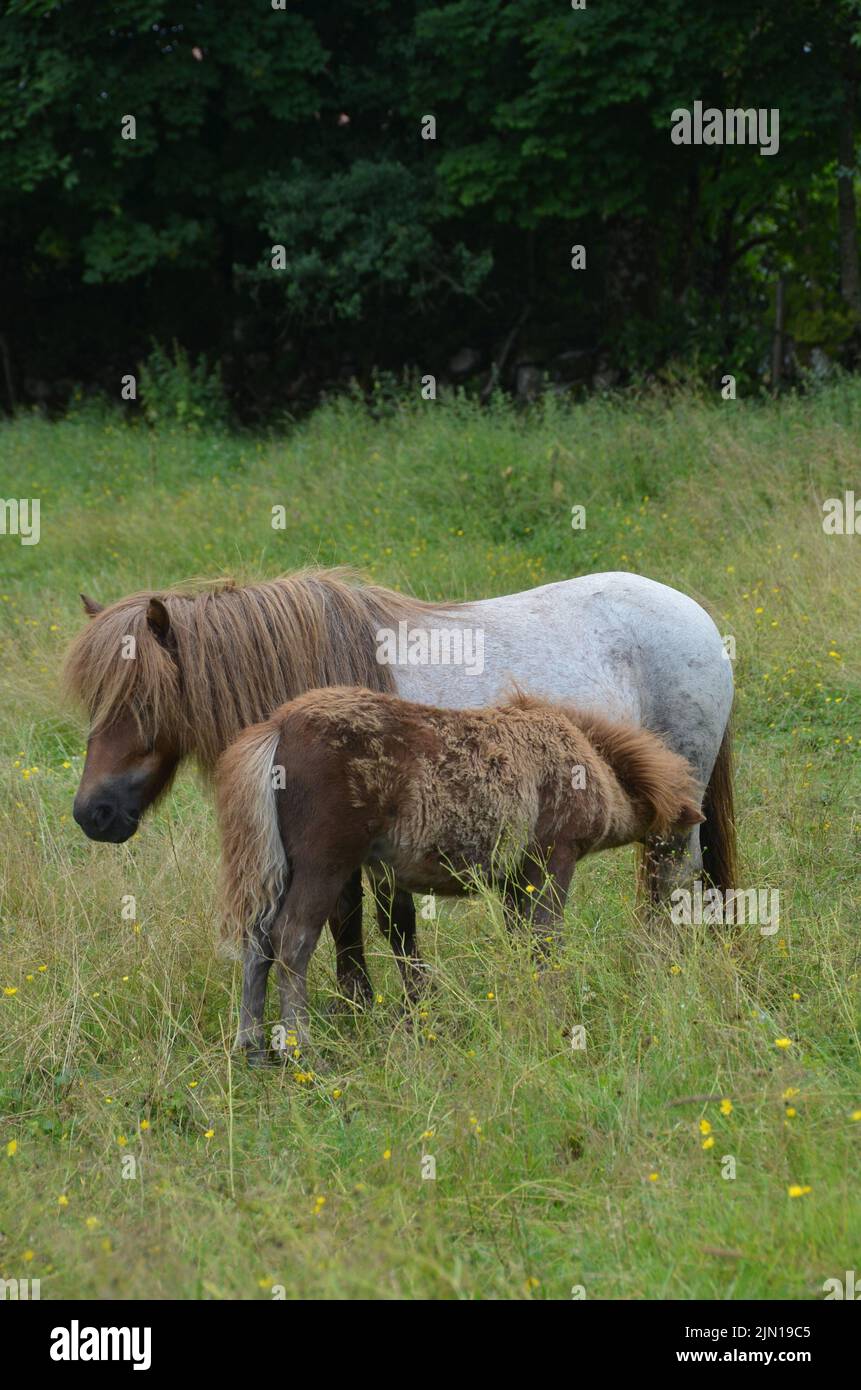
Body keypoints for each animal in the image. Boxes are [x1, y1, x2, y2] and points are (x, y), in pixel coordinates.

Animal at [216, 685, 706, 1055]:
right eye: (679, 832)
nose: (677, 894)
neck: (590, 764)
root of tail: (279, 728)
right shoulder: (552, 860)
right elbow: (545, 942)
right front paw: (555, 1015)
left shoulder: (514, 878)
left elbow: (521, 941)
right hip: (326, 863)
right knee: (291, 939)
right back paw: (302, 1049)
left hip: (281, 868)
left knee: (258, 937)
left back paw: (252, 1048)